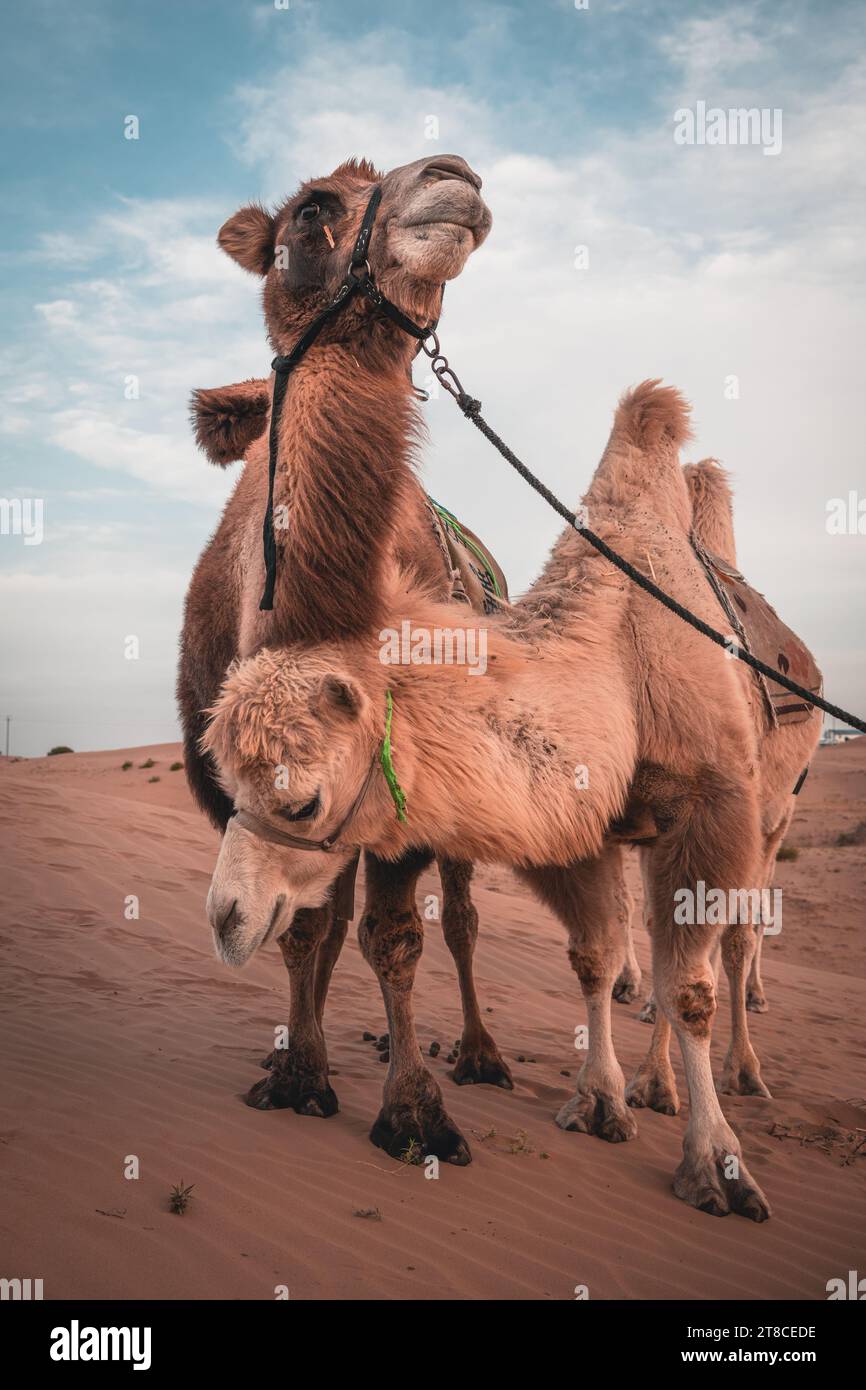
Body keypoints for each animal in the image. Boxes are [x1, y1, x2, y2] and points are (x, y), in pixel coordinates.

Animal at [178, 154, 515, 1132]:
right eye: (311, 210)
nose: (454, 175)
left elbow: (393, 934)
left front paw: (413, 1111)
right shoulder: (250, 792)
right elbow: (305, 924)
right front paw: (299, 1073)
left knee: (460, 917)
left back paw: (479, 1054)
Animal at [203, 379, 824, 1220]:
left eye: (302, 804)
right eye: (227, 782)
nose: (224, 917)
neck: (620, 662)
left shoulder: (709, 808)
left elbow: (689, 986)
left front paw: (717, 1165)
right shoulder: (587, 824)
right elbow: (594, 956)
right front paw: (600, 1100)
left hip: (771, 817)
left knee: (733, 943)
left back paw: (740, 1073)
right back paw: (654, 1083)